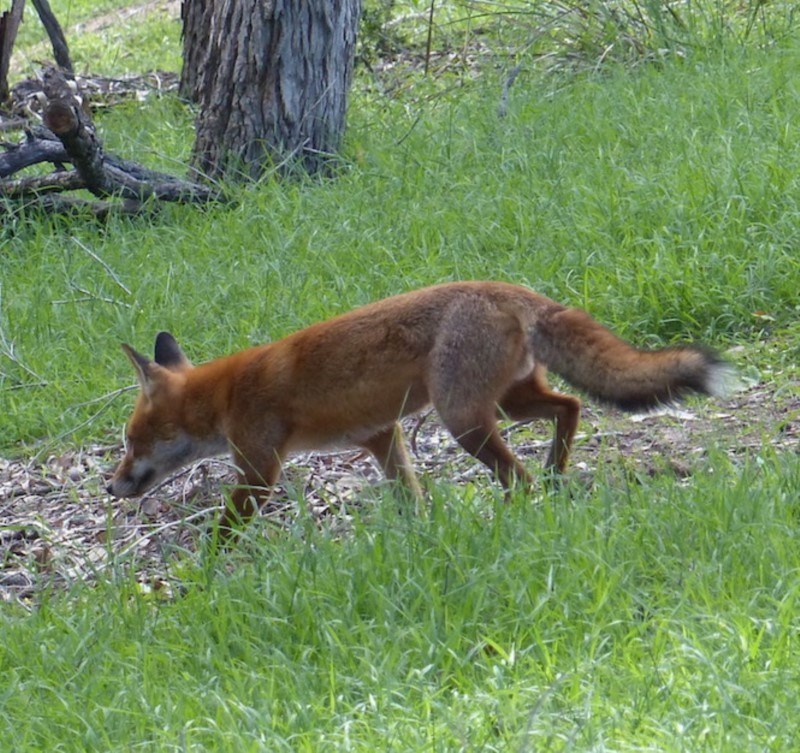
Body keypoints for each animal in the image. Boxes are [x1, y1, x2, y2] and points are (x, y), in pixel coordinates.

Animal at [107, 281, 733, 534]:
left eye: (131, 442)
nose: (110, 487)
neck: (227, 393)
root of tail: (506, 288)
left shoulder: (260, 470)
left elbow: (223, 532)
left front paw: (205, 578)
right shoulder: (380, 436)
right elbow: (411, 498)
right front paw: (423, 537)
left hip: (465, 421)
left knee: (520, 476)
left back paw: (524, 509)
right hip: (510, 403)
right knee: (571, 406)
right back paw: (558, 477)